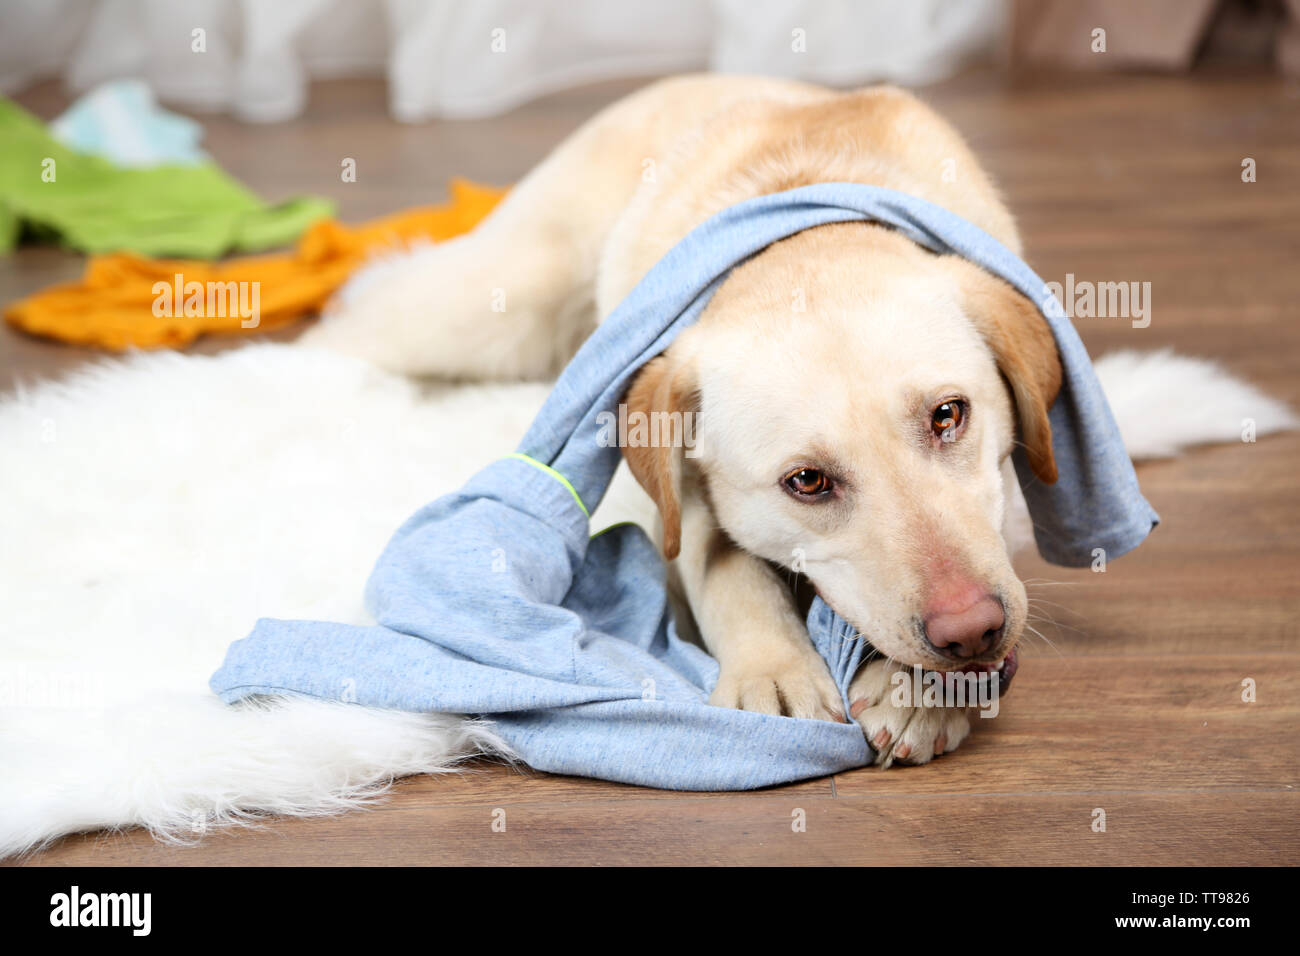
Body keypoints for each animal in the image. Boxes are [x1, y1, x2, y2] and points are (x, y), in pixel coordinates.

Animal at [306, 74, 1066, 764]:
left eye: (948, 416)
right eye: (807, 482)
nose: (971, 631)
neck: (802, 234)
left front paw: (920, 693)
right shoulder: (692, 504)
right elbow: (726, 576)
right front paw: (774, 670)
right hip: (498, 305)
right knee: (349, 324)